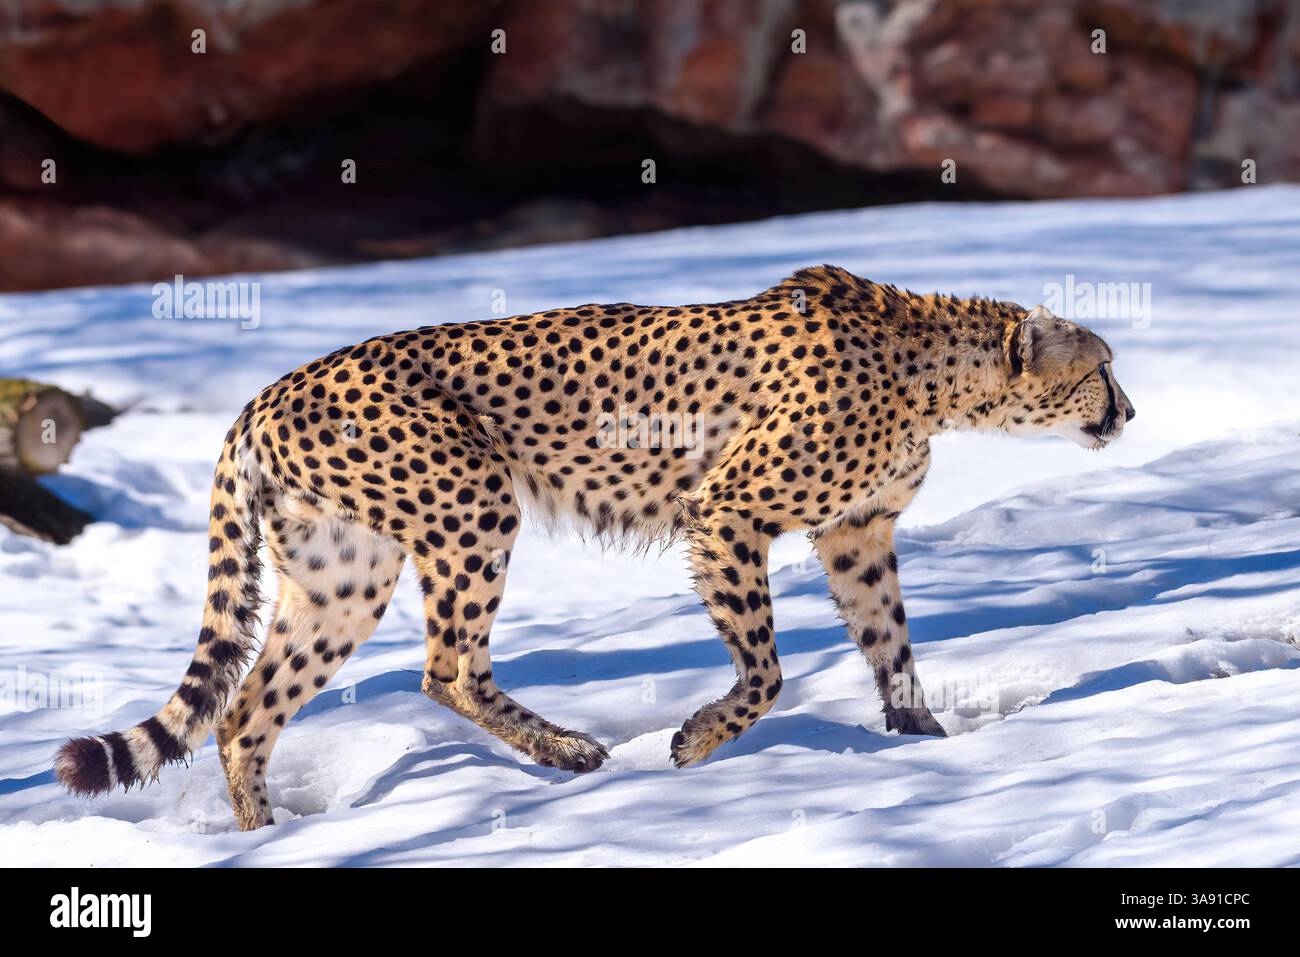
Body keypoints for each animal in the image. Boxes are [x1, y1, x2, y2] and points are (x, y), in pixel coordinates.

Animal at [55, 265, 1135, 830]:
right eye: (1102, 369)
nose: (1128, 413)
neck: (933, 370)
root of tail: (267, 391)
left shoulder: (854, 531)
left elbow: (891, 645)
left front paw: (924, 743)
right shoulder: (726, 511)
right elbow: (767, 670)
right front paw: (699, 739)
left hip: (342, 576)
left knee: (246, 711)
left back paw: (263, 836)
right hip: (474, 502)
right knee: (447, 668)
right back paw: (569, 750)